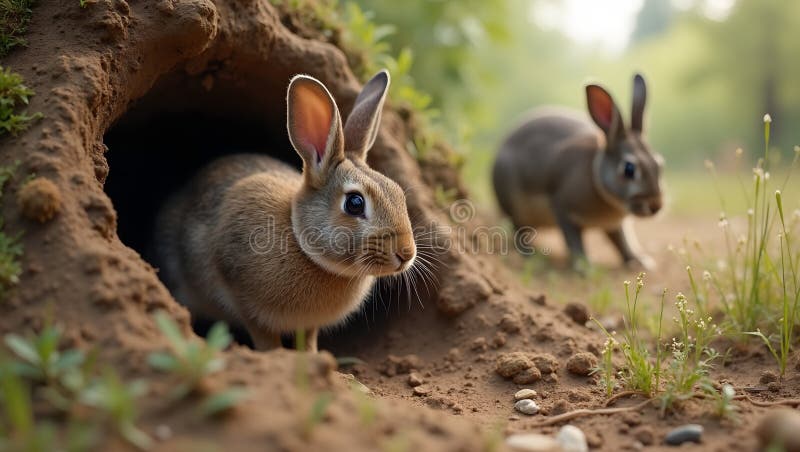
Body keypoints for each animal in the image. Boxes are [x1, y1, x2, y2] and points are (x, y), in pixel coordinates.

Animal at [154, 70, 417, 352]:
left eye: (398, 192)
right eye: (355, 203)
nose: (406, 253)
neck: (303, 245)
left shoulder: (309, 323)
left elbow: (309, 339)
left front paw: (313, 357)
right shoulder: (245, 300)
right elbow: (264, 337)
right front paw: (275, 355)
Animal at [492, 74, 663, 270]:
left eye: (659, 164)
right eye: (629, 169)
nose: (656, 206)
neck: (596, 178)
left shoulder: (614, 225)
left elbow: (621, 242)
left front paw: (640, 261)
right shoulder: (563, 209)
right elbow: (574, 242)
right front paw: (585, 267)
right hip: (512, 202)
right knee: (518, 229)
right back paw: (531, 255)